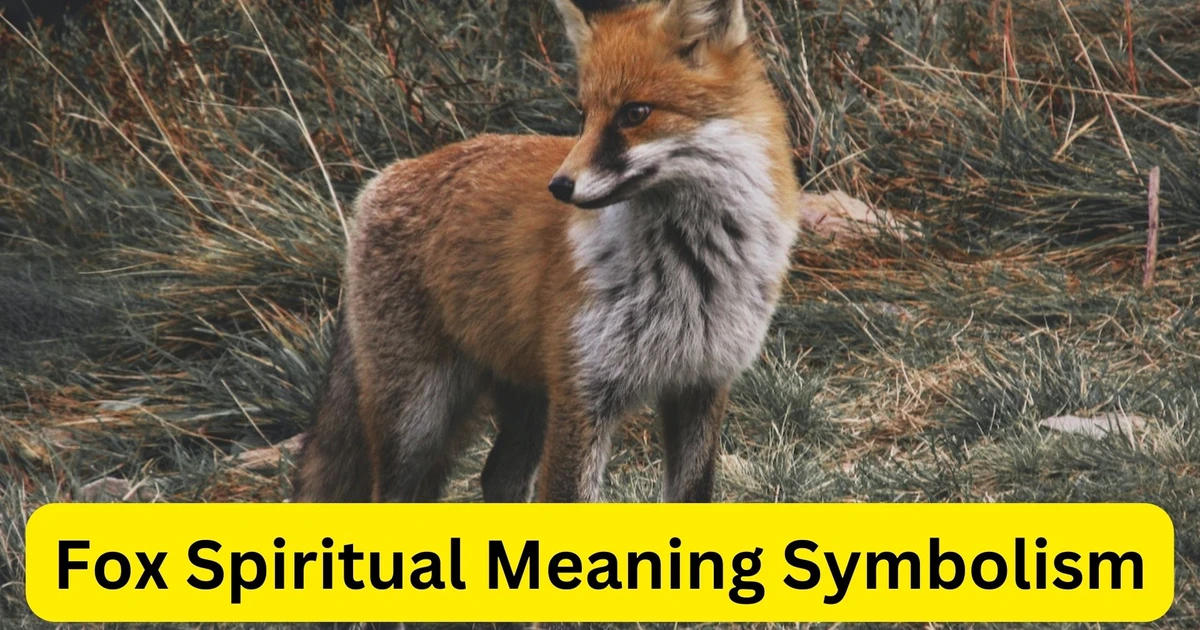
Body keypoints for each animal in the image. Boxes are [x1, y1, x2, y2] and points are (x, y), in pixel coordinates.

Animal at [296, 0, 800, 505]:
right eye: (583, 116)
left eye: (635, 113)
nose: (559, 186)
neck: (688, 269)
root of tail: (383, 178)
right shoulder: (583, 393)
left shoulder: (701, 385)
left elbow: (693, 493)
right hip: (418, 419)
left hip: (527, 400)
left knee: (498, 476)